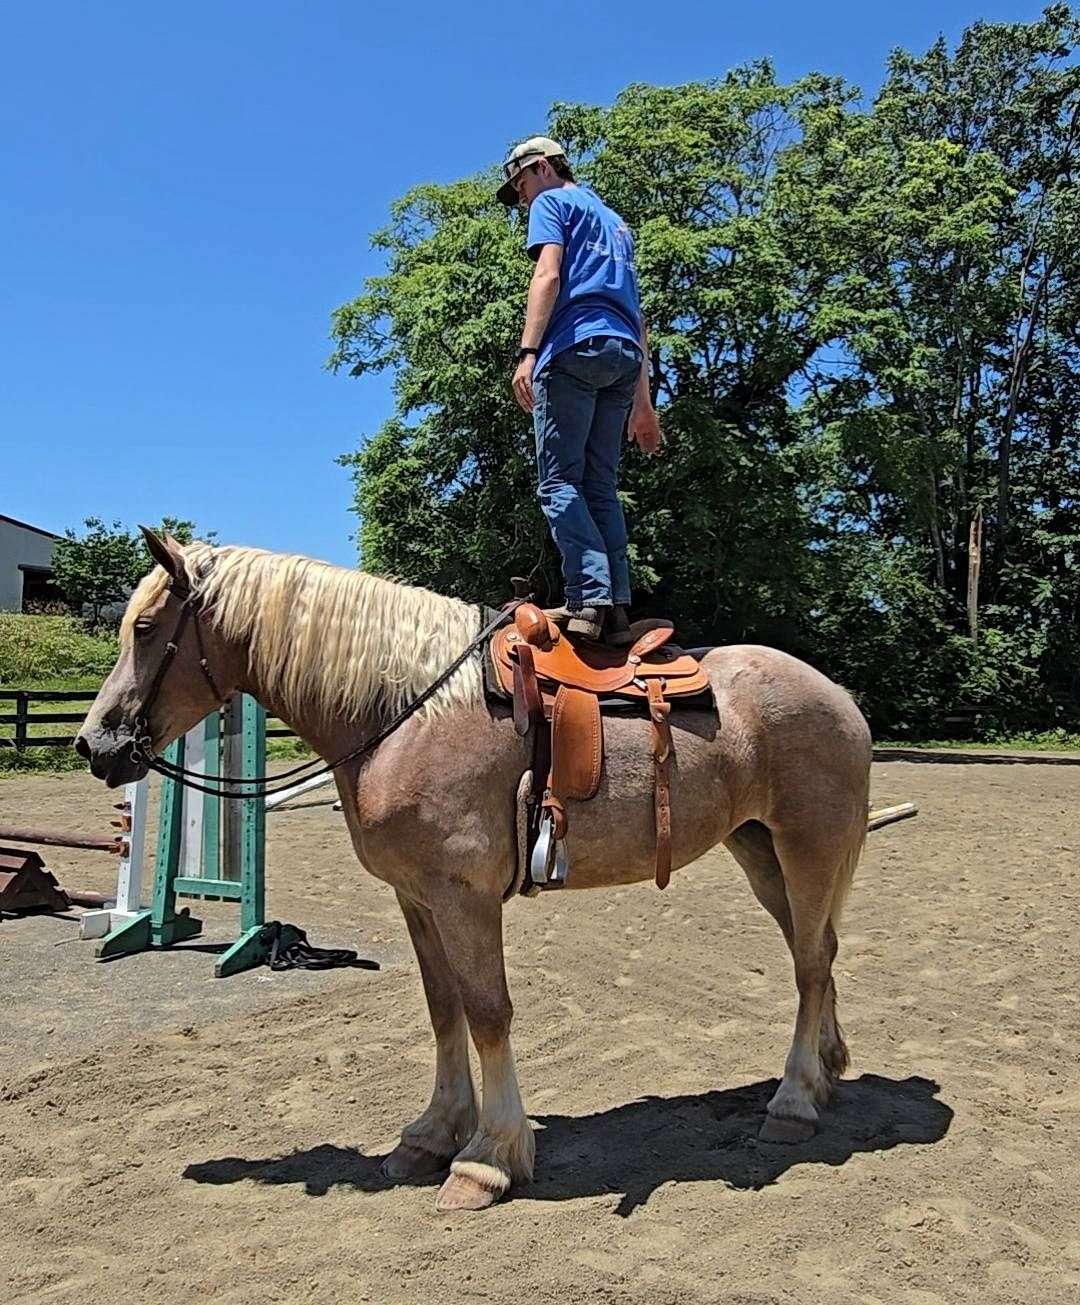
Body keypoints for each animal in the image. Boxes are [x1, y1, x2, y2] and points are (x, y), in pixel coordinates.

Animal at [76, 529, 872, 1212]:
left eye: (145, 629)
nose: (93, 744)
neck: (404, 710)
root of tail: (839, 696)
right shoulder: (417, 897)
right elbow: (443, 1008)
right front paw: (431, 1134)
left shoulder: (465, 897)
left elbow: (489, 1012)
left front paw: (489, 1157)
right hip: (760, 852)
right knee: (820, 952)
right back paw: (827, 1069)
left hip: (807, 848)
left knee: (809, 965)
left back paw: (794, 1100)